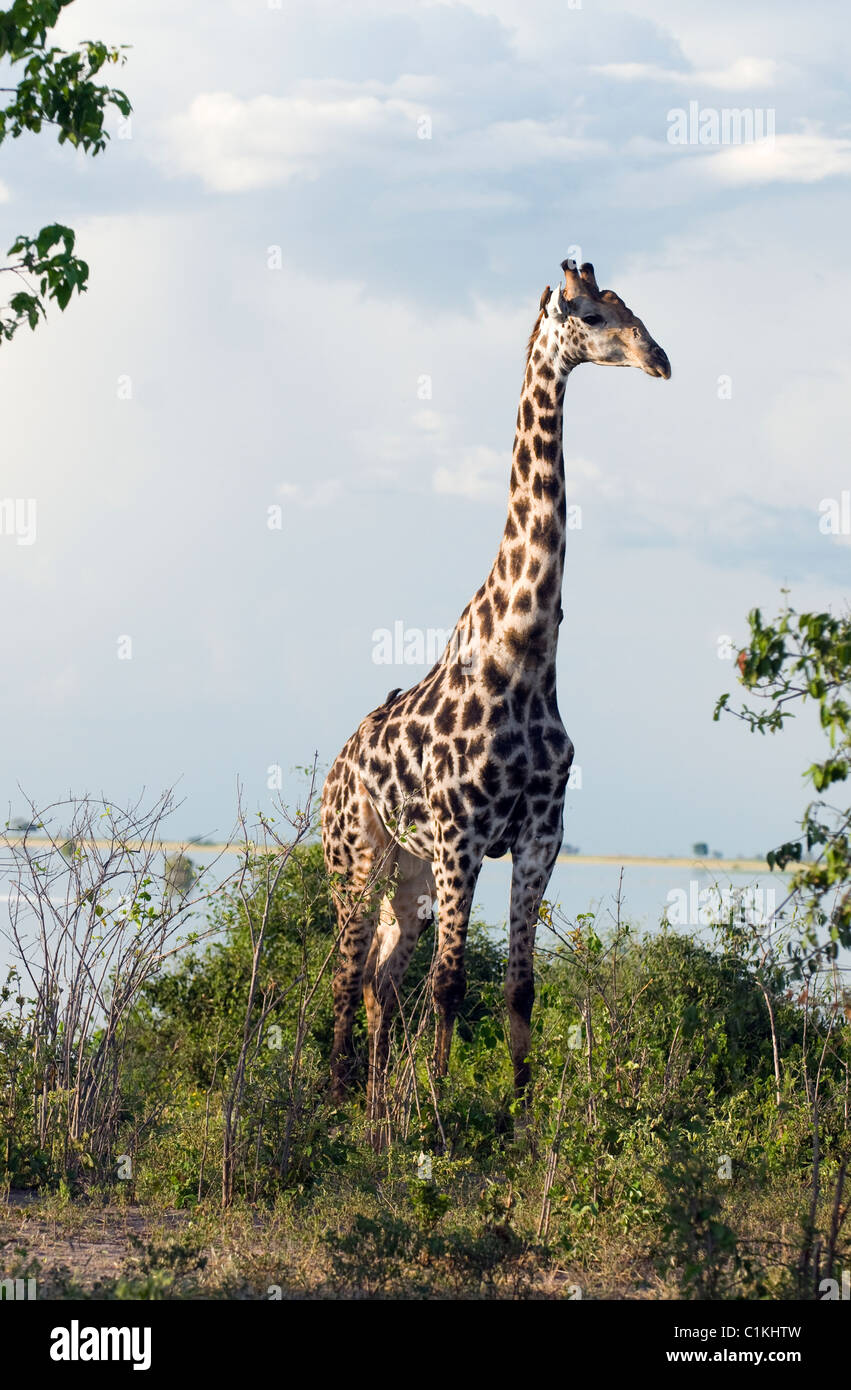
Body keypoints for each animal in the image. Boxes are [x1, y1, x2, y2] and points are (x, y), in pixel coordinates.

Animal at [322, 257, 670, 1118]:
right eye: (588, 314)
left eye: (631, 309)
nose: (659, 360)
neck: (525, 655)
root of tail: (335, 766)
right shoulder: (463, 835)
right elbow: (451, 986)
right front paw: (441, 1117)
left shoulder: (540, 834)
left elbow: (518, 991)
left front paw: (517, 1122)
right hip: (357, 856)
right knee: (346, 972)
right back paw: (334, 1102)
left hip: (407, 874)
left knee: (380, 977)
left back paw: (371, 1106)